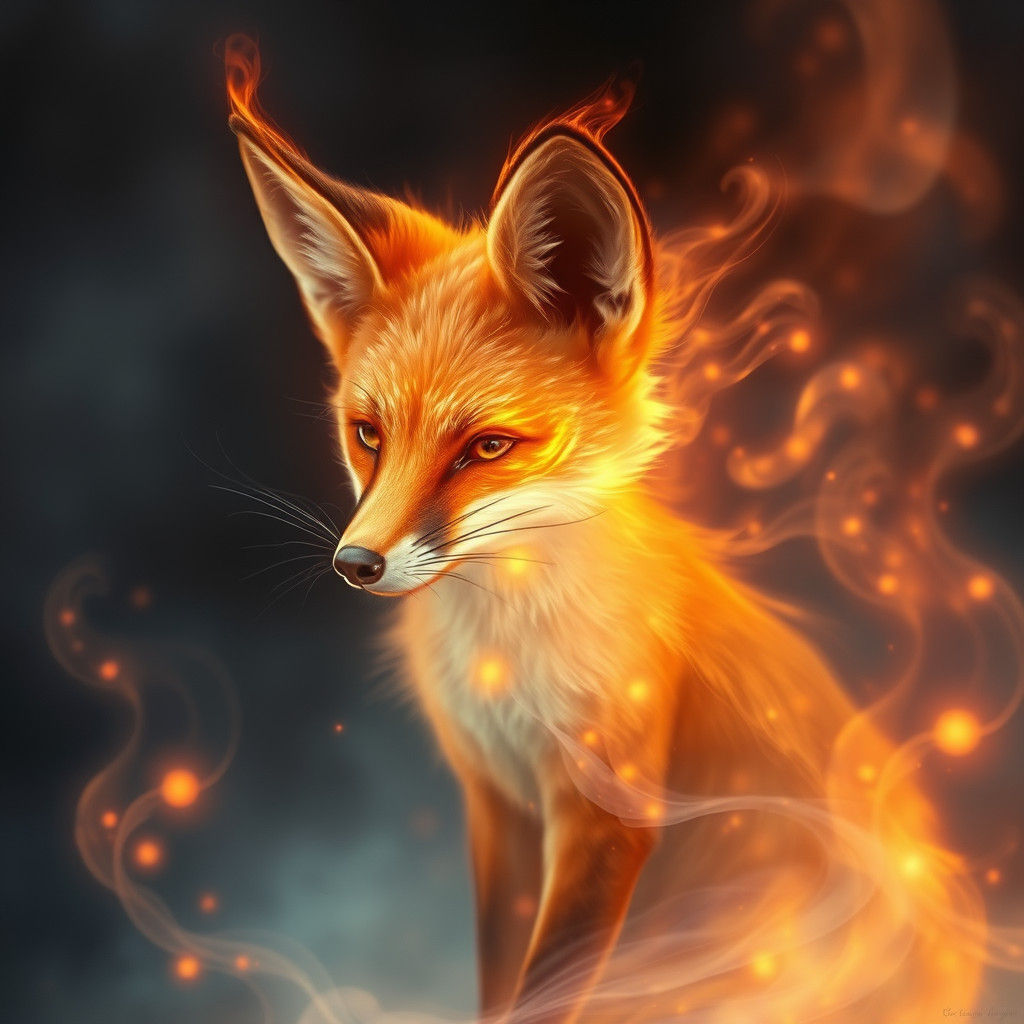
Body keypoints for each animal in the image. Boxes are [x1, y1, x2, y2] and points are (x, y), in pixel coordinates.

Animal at [225, 35, 986, 1024]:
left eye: (487, 447)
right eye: (369, 434)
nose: (357, 563)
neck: (506, 664)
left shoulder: (606, 811)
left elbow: (546, 989)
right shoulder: (496, 805)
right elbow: (501, 976)